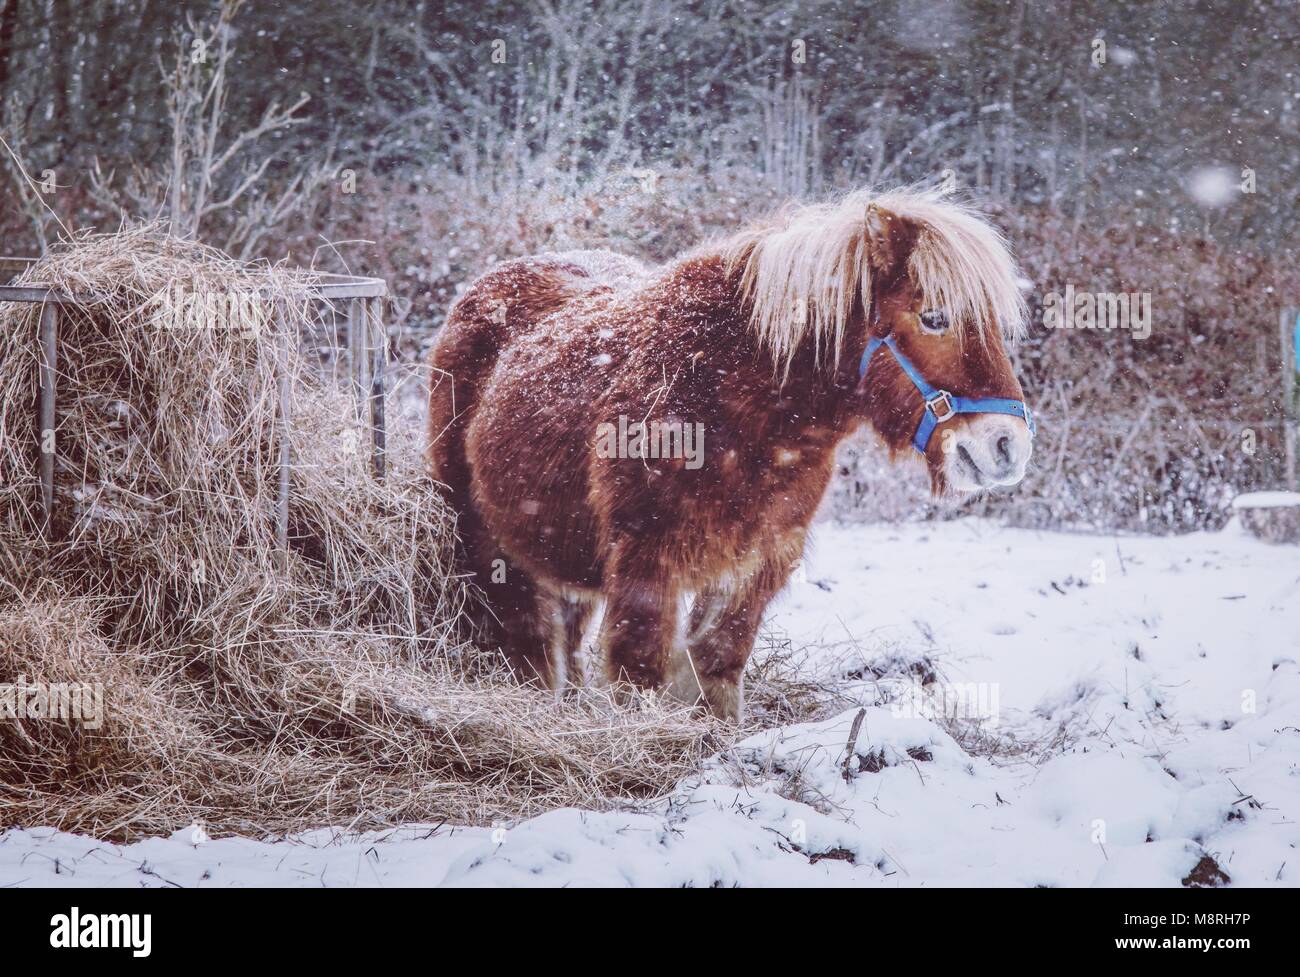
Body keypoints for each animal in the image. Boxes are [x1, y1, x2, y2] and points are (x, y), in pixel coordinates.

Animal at [427, 187, 1033, 721]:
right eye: (934, 317)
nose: (1008, 446)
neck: (734, 394)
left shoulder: (762, 559)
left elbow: (718, 665)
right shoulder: (647, 560)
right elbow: (639, 674)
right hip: (491, 547)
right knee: (529, 652)